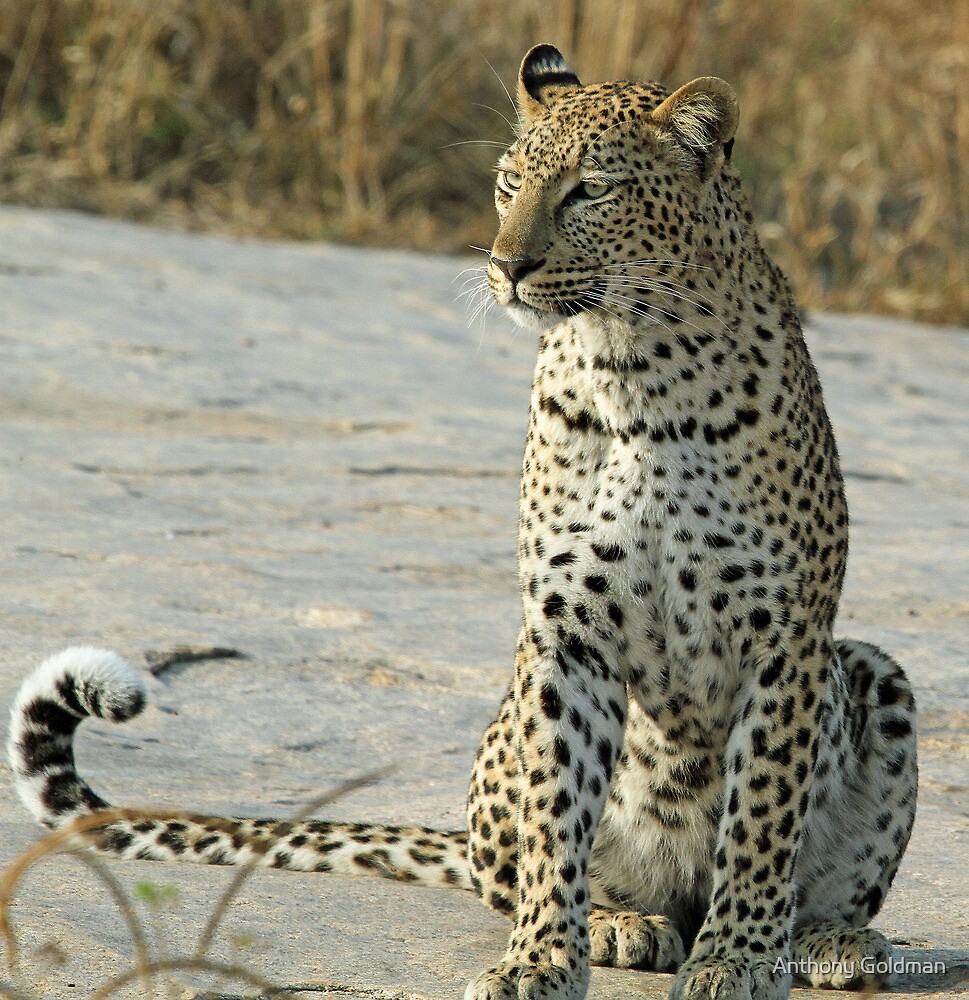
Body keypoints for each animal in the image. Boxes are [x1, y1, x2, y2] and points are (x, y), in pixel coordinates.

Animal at [7, 45, 918, 1000]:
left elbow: (760, 819)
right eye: (509, 183)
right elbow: (557, 813)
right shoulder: (564, 633)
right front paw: (540, 959)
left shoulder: (784, 637)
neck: (637, 371)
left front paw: (737, 958)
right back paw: (621, 922)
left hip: (873, 668)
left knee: (811, 871)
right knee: (522, 869)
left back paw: (830, 940)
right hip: (508, 725)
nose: (506, 265)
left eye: (589, 191)